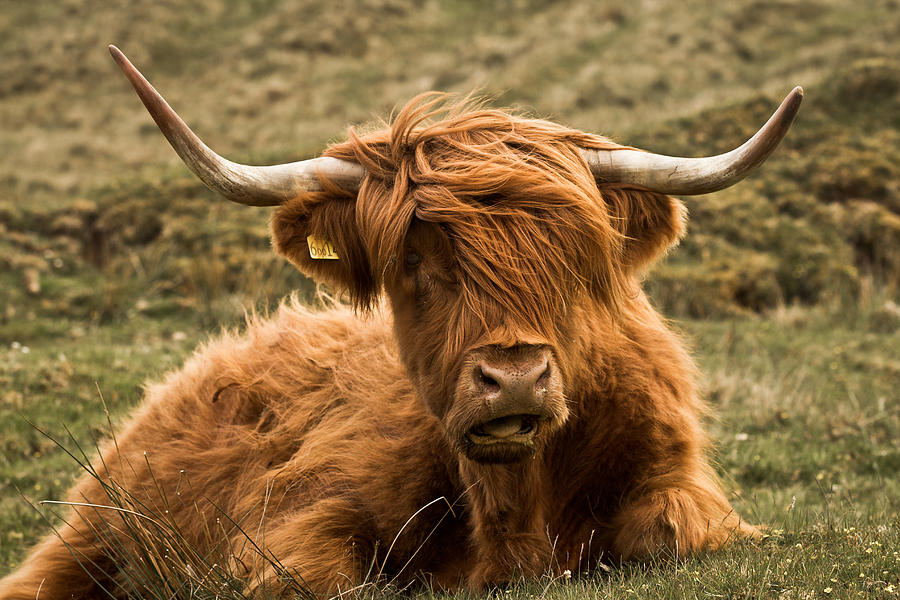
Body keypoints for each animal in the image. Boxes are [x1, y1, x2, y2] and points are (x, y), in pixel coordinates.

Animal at [0, 46, 802, 599]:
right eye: (413, 258)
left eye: (575, 256)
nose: (514, 379)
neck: (514, 512)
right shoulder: (295, 515)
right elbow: (318, 575)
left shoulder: (678, 483)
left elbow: (668, 534)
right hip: (87, 534)